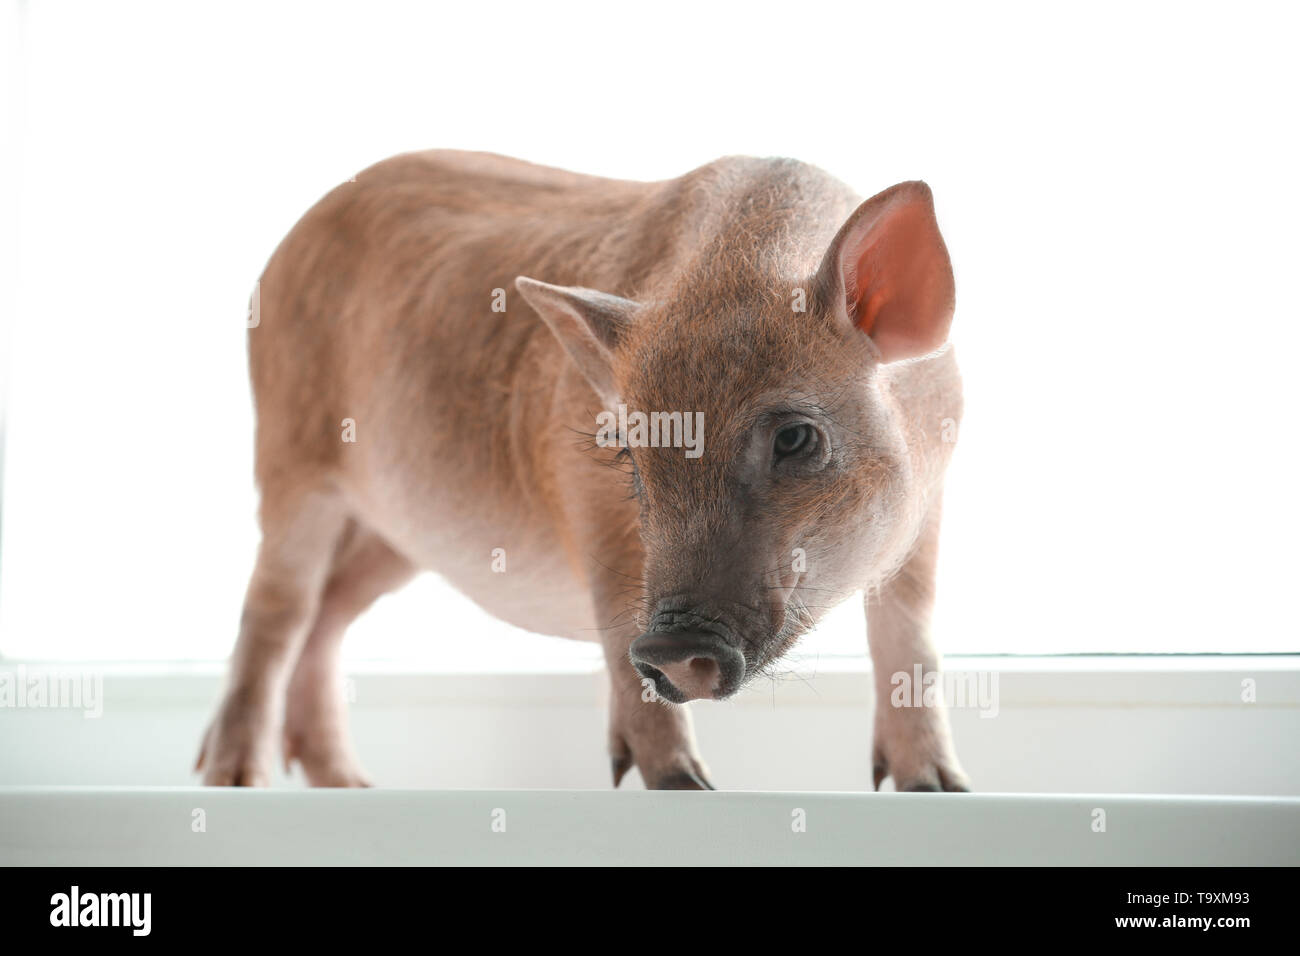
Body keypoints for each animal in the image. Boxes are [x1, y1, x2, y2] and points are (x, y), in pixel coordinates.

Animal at [196, 150, 969, 792]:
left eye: (796, 438)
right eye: (629, 452)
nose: (675, 645)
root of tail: (280, 254)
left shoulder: (931, 504)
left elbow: (912, 638)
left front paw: (939, 790)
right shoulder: (590, 509)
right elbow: (619, 642)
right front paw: (686, 789)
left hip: (392, 534)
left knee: (328, 616)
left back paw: (350, 786)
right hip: (291, 461)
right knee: (277, 609)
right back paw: (236, 780)